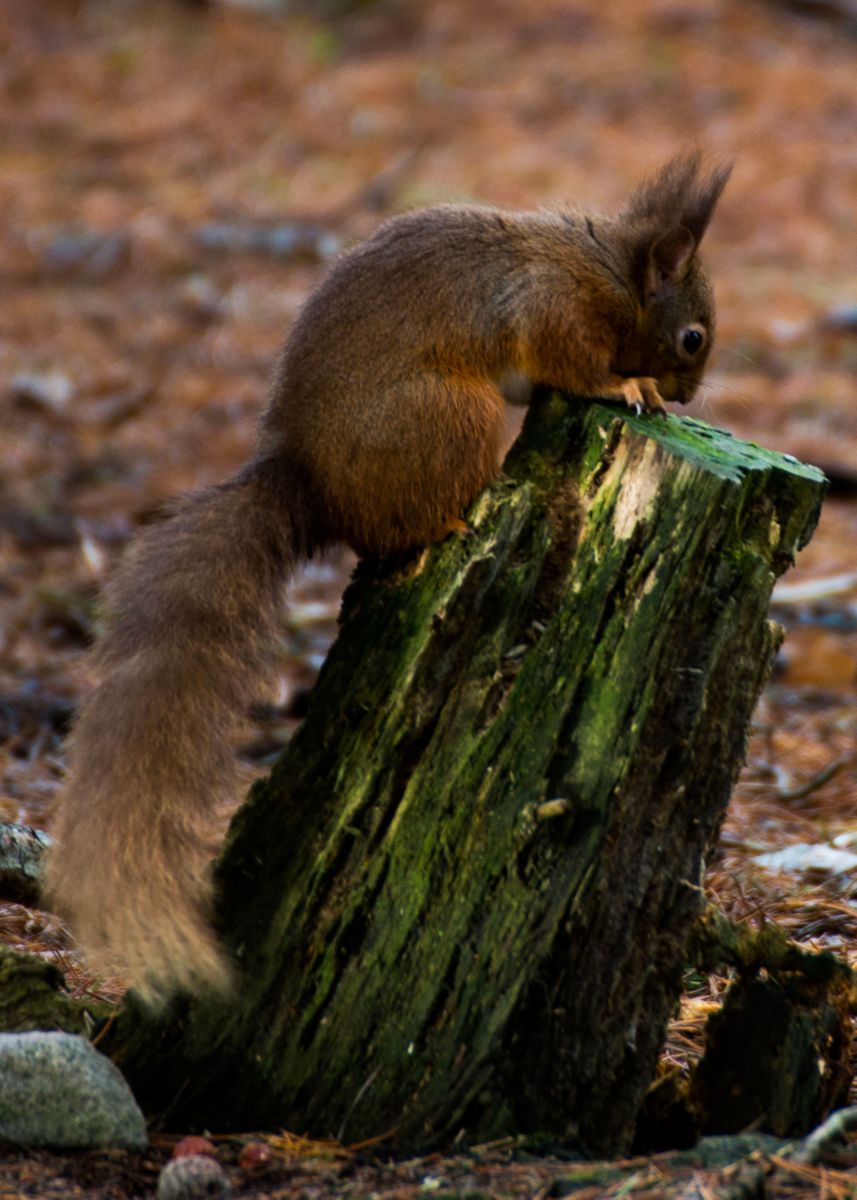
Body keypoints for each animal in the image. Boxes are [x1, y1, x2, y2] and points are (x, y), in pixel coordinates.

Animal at [45, 152, 730, 1005]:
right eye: (691, 337)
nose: (688, 396)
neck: (611, 269)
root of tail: (313, 484)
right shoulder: (552, 309)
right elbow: (571, 365)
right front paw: (628, 388)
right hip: (452, 417)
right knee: (401, 528)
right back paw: (447, 525)